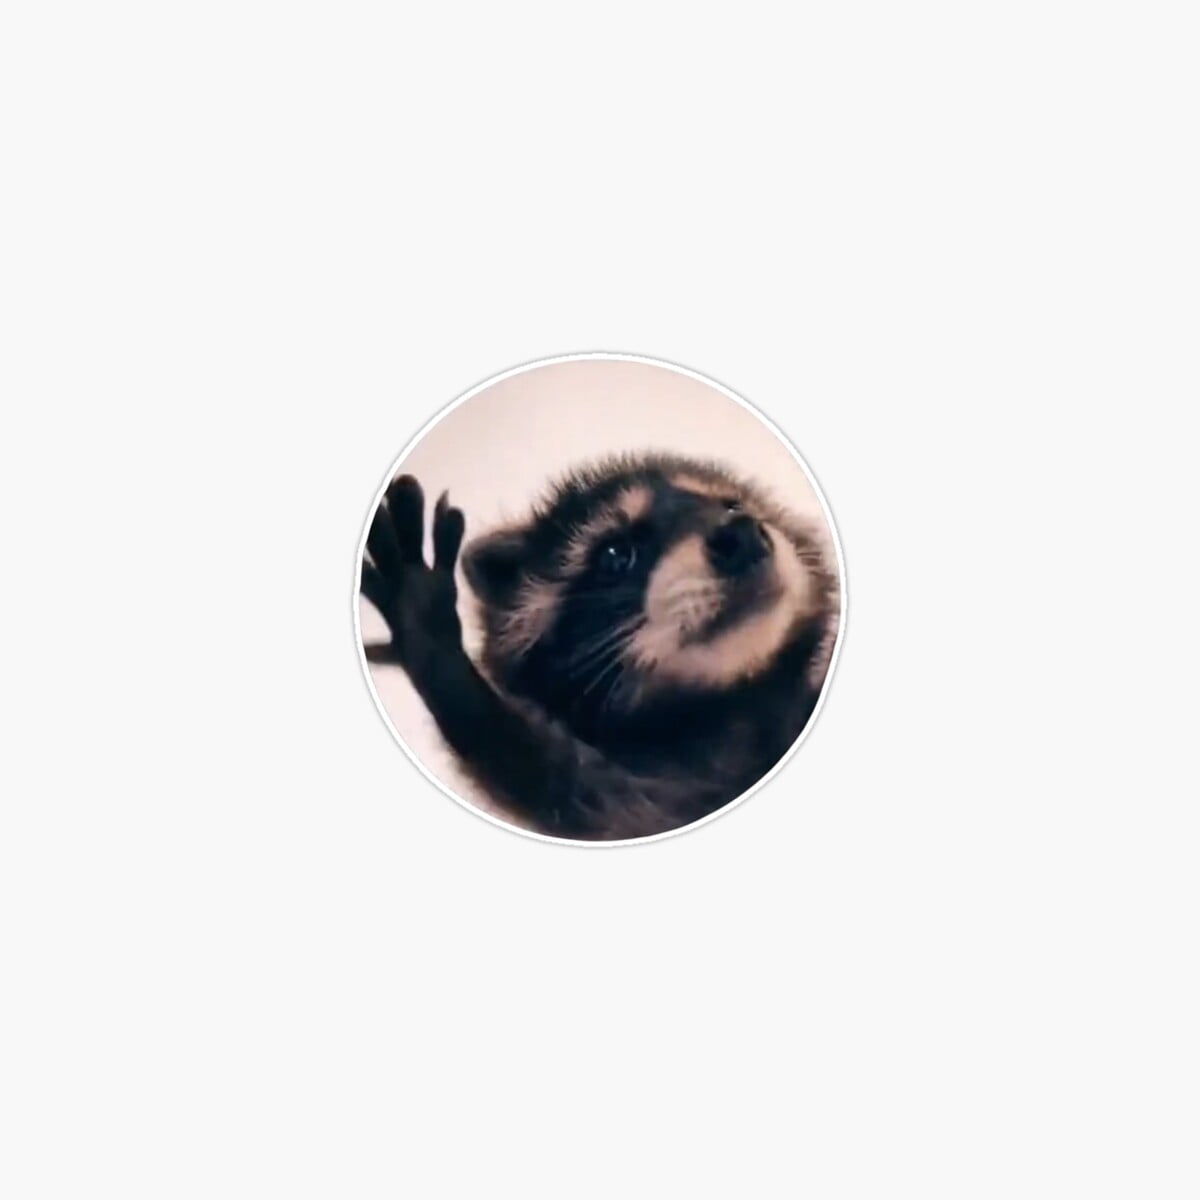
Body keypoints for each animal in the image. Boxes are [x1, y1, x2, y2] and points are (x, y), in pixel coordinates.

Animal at [360, 453, 839, 841]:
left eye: (733, 505)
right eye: (615, 554)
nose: (742, 535)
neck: (728, 707)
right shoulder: (650, 803)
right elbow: (544, 775)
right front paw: (431, 638)